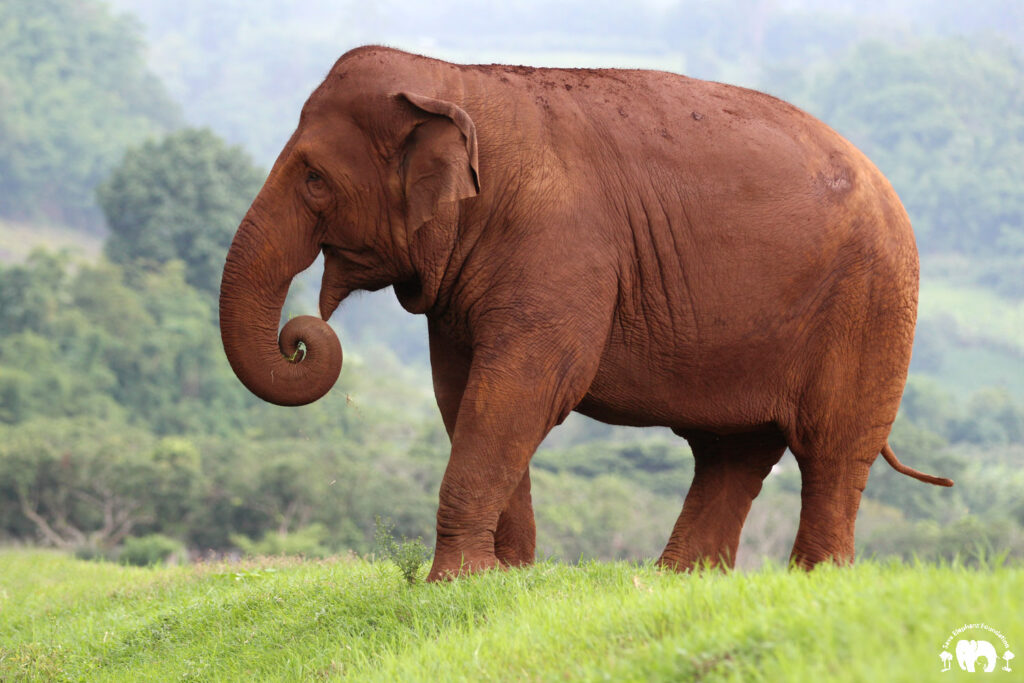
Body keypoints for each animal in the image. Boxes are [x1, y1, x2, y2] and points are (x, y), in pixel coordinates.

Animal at [219, 46, 953, 580]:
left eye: (314, 179)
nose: (299, 338)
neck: (453, 77)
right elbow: (463, 394)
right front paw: (504, 577)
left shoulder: (562, 248)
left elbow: (525, 387)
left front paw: (451, 582)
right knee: (732, 453)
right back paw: (672, 581)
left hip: (873, 305)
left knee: (831, 449)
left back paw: (812, 580)